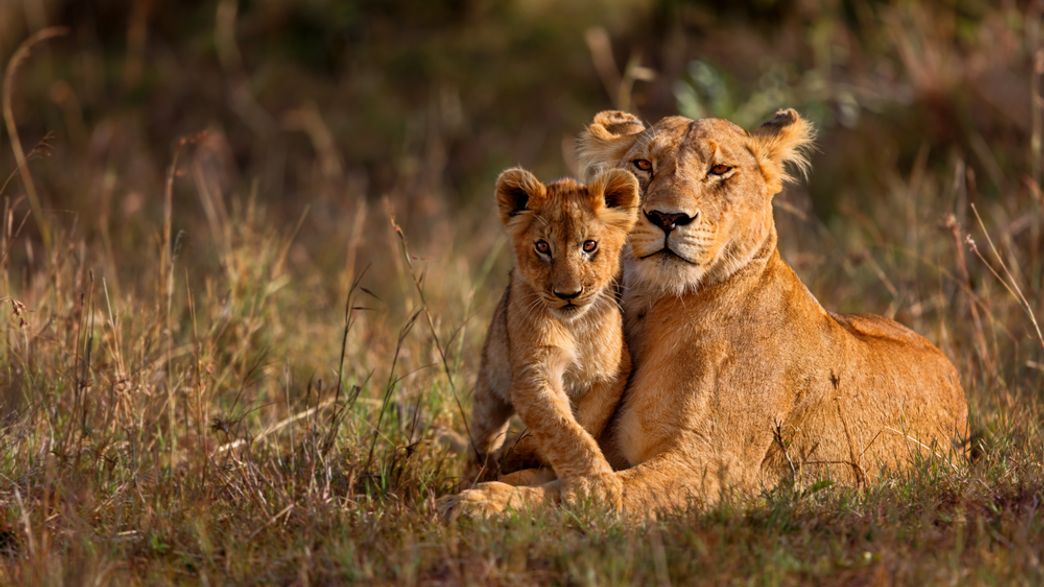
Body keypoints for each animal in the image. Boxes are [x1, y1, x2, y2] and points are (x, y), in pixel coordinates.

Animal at [465, 167, 639, 492]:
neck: (575, 326)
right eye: (543, 247)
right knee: (482, 440)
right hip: (489, 389)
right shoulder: (533, 373)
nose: (568, 294)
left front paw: (530, 453)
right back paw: (476, 476)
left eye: (589, 246)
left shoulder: (612, 372)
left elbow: (585, 422)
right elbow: (563, 429)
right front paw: (595, 485)